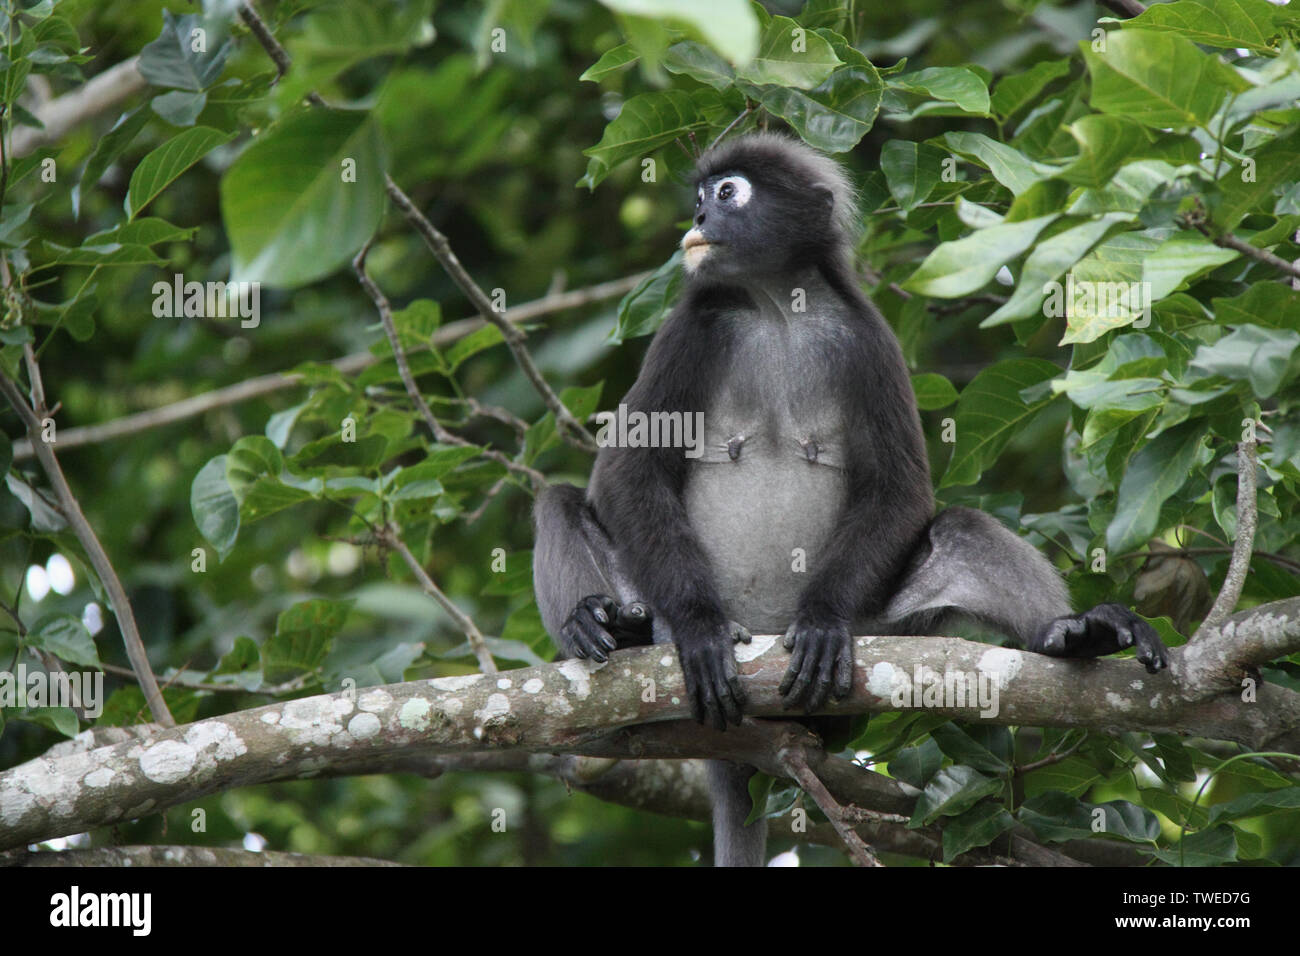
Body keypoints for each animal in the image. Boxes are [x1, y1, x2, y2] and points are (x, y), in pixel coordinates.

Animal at [533, 132, 1168, 866]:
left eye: (727, 193)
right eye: (700, 195)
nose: (696, 218)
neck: (775, 306)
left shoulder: (867, 337)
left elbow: (900, 490)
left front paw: (822, 623)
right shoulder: (692, 325)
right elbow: (627, 475)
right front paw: (699, 628)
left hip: (883, 634)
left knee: (962, 529)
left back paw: (1073, 634)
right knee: (557, 502)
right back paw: (609, 623)